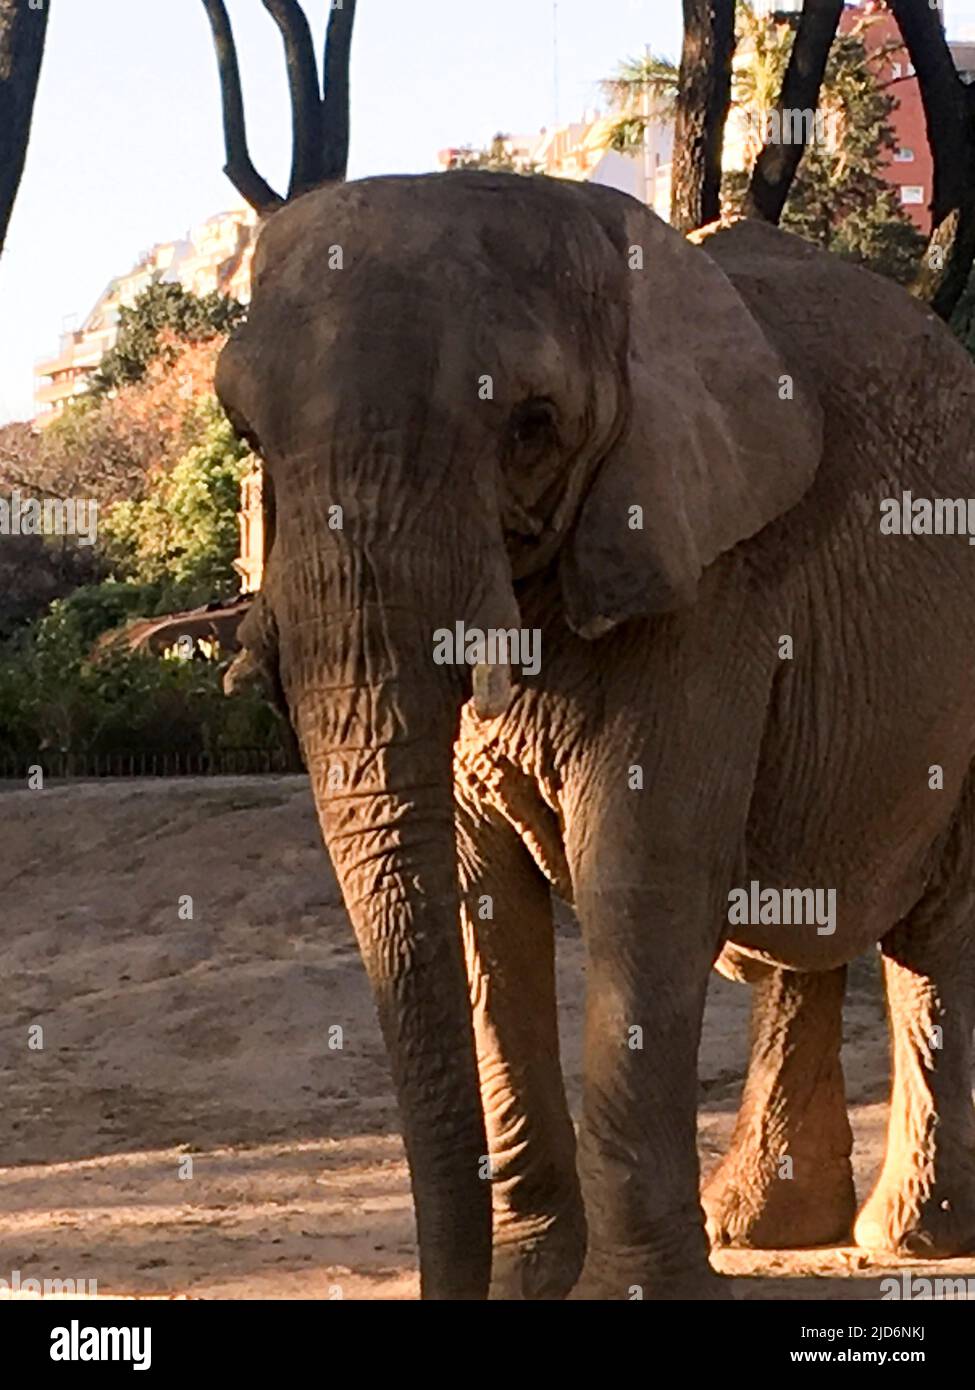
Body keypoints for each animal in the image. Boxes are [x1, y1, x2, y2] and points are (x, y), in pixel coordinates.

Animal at [215, 171, 975, 1300]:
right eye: (249, 439)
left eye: (531, 427)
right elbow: (482, 900)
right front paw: (529, 1279)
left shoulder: (708, 582)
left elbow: (639, 882)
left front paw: (632, 1292)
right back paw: (764, 1226)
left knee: (933, 935)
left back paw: (910, 1239)